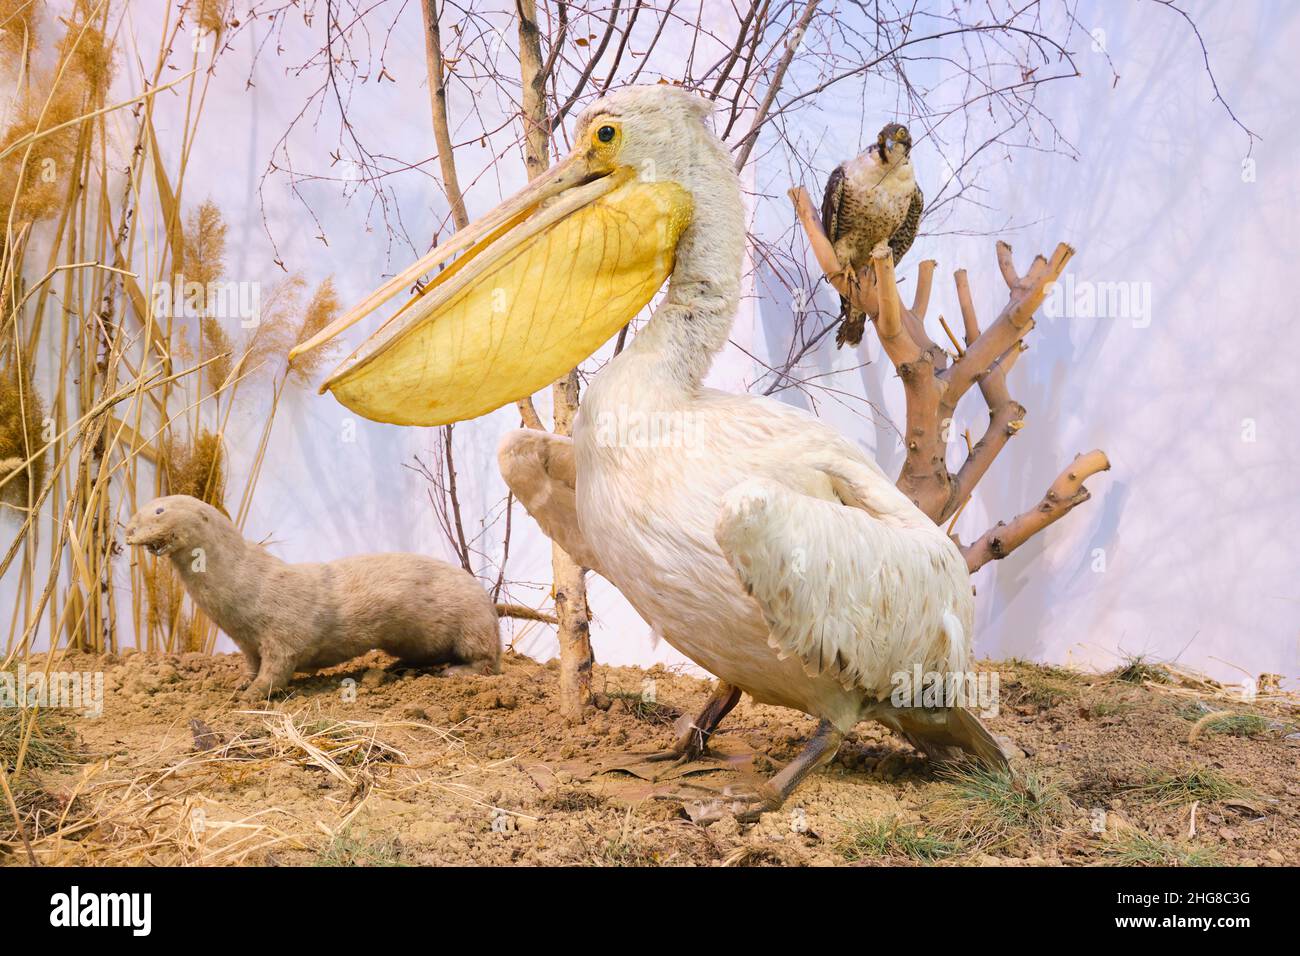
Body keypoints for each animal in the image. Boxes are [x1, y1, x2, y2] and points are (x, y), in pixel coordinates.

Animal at [124, 495, 547, 698]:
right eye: (139, 509)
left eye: (159, 510)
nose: (127, 529)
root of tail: (487, 600)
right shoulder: (246, 642)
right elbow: (252, 665)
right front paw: (242, 685)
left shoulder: (283, 634)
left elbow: (278, 668)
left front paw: (253, 696)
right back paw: (399, 667)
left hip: (472, 624)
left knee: (488, 662)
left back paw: (454, 671)